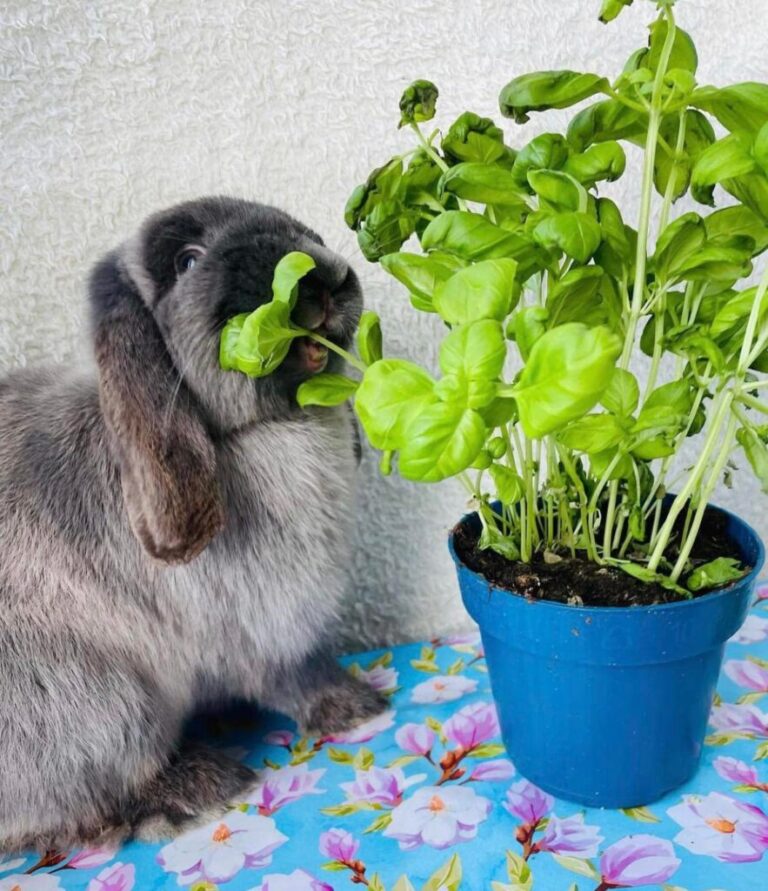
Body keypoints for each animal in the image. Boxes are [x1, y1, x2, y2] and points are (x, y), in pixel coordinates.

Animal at [0, 196, 388, 853]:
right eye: (187, 261)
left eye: (304, 230)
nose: (317, 275)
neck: (251, 434)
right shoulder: (268, 625)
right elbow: (297, 673)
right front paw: (360, 707)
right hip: (90, 699)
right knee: (89, 794)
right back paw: (198, 788)